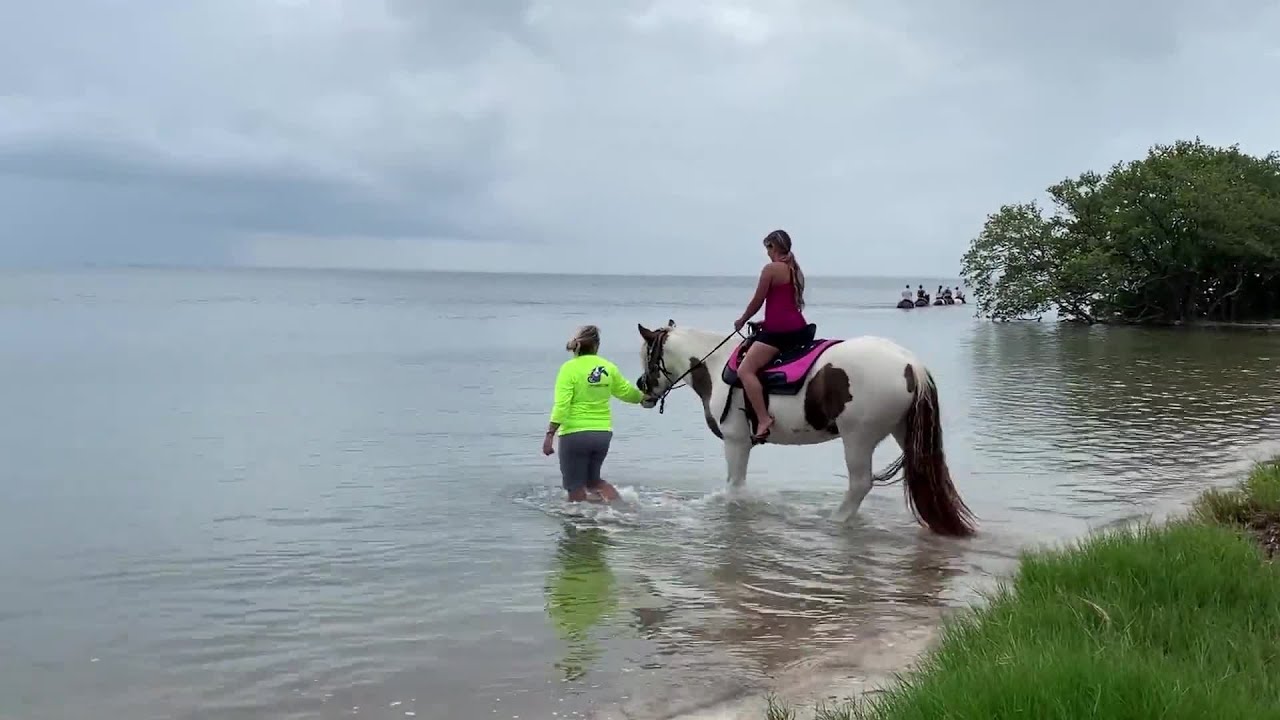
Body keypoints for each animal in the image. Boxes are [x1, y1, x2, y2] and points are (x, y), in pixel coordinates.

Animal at [635, 320, 976, 537]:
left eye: (648, 356)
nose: (642, 388)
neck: (718, 365)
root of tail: (909, 364)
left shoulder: (736, 442)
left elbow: (734, 487)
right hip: (902, 432)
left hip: (858, 438)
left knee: (859, 484)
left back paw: (836, 520)